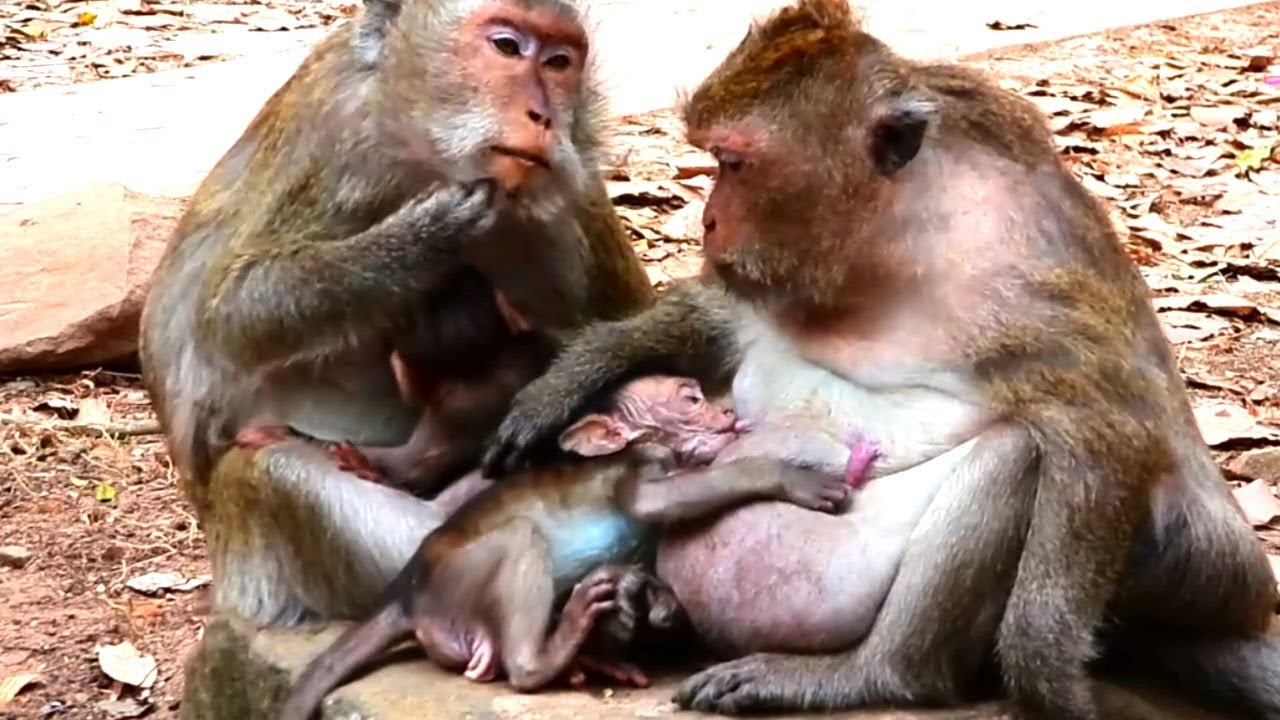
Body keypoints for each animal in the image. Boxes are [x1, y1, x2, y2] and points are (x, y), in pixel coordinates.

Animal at [137, 0, 656, 627]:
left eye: (560, 62)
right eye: (507, 47)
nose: (544, 115)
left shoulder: (576, 181)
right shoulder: (332, 135)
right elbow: (234, 307)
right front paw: (424, 238)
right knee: (266, 469)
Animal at [277, 375, 860, 720]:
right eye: (689, 399)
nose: (724, 413)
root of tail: (406, 591)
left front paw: (651, 600)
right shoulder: (638, 467)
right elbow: (653, 503)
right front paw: (791, 477)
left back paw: (592, 654)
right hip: (457, 580)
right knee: (520, 542)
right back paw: (547, 655)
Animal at [480, 2, 1280, 718]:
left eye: (734, 163)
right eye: (713, 164)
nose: (707, 219)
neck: (888, 243)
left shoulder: (1021, 282)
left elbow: (1106, 436)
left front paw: (1044, 671)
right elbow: (722, 316)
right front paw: (571, 379)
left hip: (1181, 570)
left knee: (1018, 455)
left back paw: (875, 674)